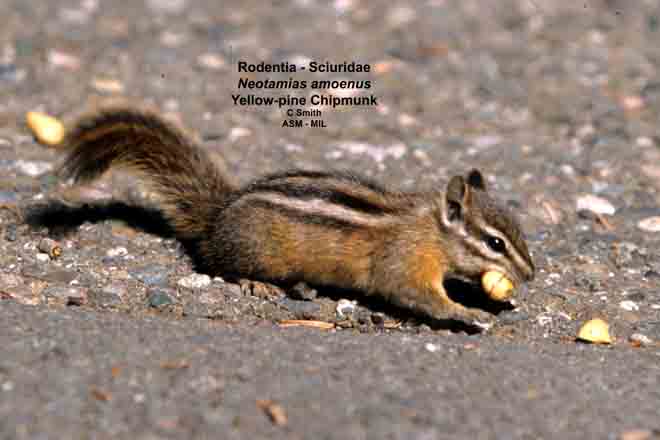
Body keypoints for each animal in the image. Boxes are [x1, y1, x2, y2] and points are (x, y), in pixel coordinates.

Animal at [30, 103, 535, 325]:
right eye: (495, 242)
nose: (531, 274)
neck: (430, 228)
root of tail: (218, 216)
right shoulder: (405, 264)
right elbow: (416, 295)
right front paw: (465, 314)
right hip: (253, 252)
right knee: (217, 265)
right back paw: (257, 284)